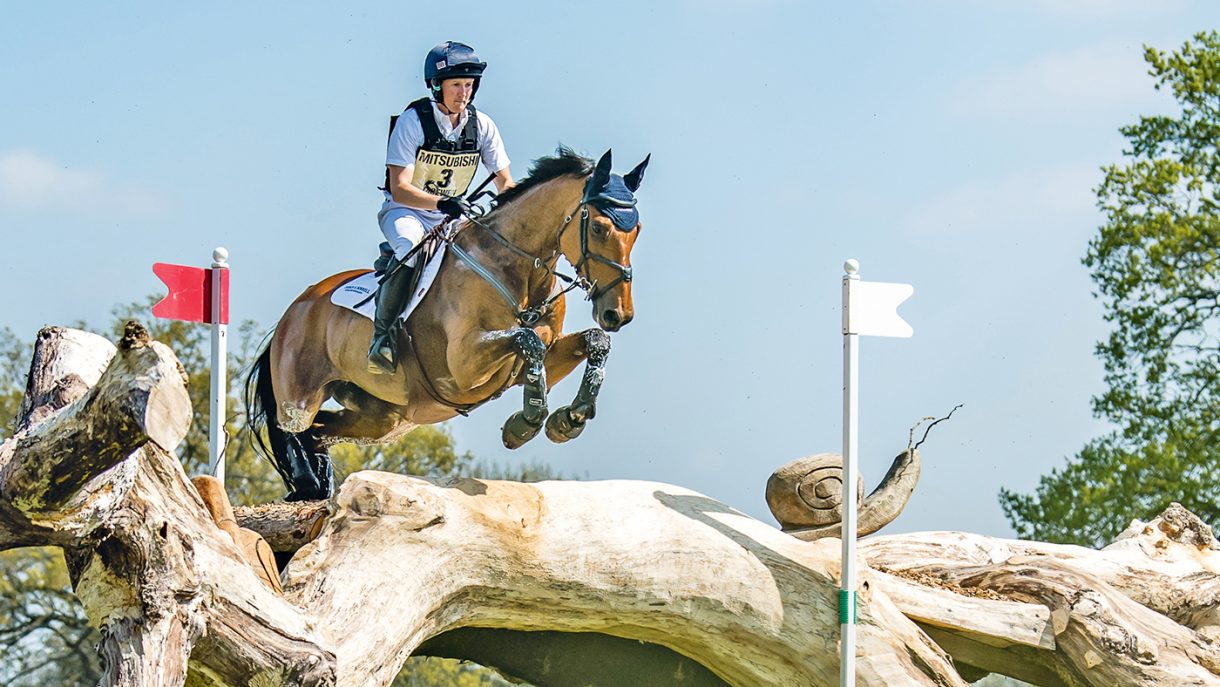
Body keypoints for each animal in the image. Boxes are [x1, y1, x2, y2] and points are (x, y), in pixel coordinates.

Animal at [246, 148, 649, 501]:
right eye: (599, 228)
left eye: (637, 230)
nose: (618, 314)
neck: (519, 271)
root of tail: (293, 312)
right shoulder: (463, 366)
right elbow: (526, 341)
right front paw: (524, 425)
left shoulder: (537, 359)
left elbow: (594, 342)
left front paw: (568, 419)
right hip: (299, 396)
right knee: (291, 429)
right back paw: (306, 483)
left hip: (380, 419)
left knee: (319, 434)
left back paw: (318, 486)